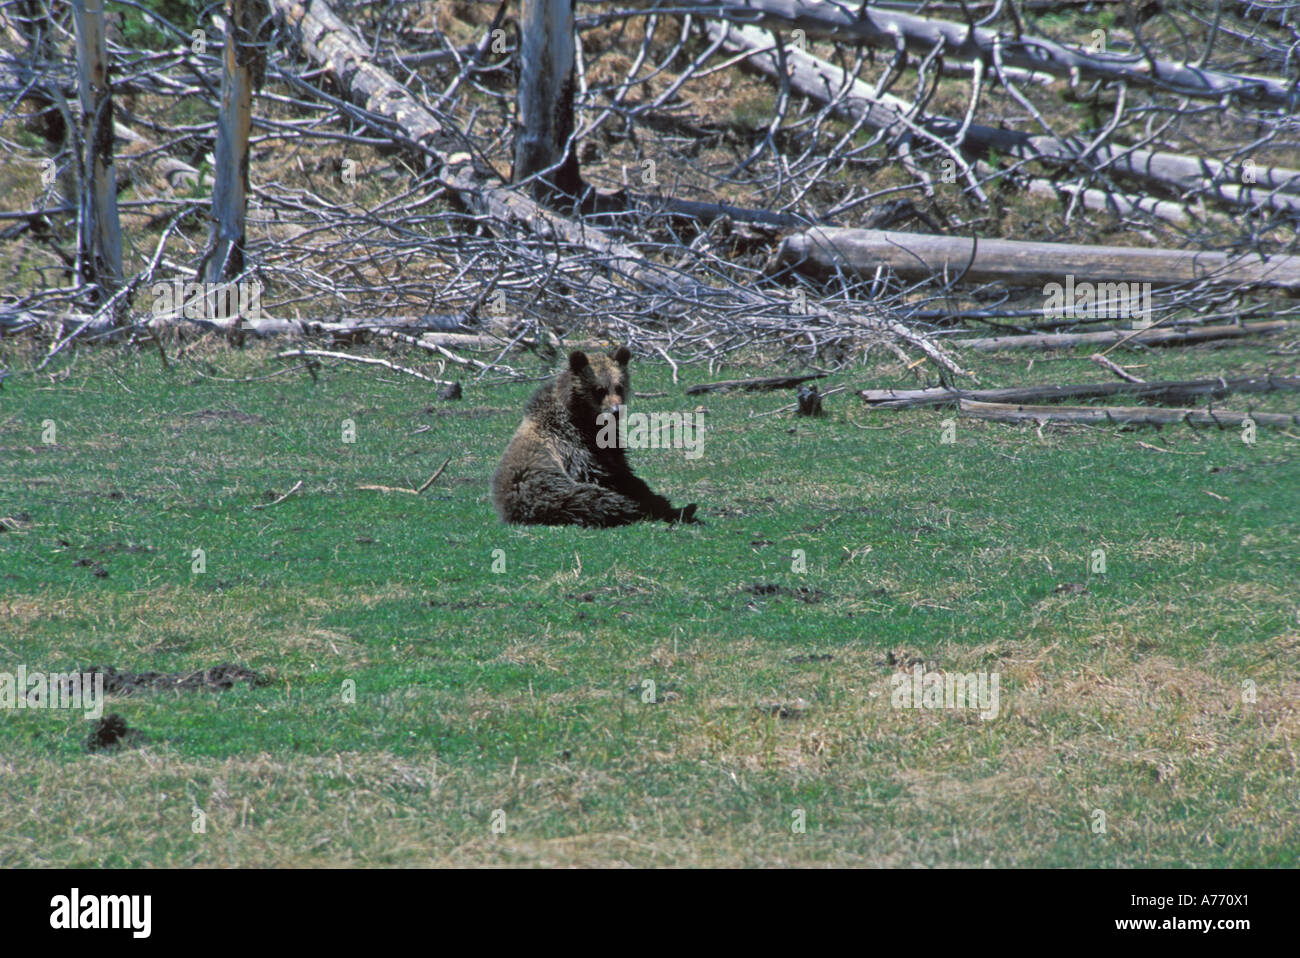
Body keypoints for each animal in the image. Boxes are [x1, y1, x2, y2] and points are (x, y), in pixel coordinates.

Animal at [491, 346, 699, 527]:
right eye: (599, 389)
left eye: (619, 386)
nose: (615, 411)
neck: (583, 417)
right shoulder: (574, 445)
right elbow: (603, 473)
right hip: (552, 486)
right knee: (597, 501)